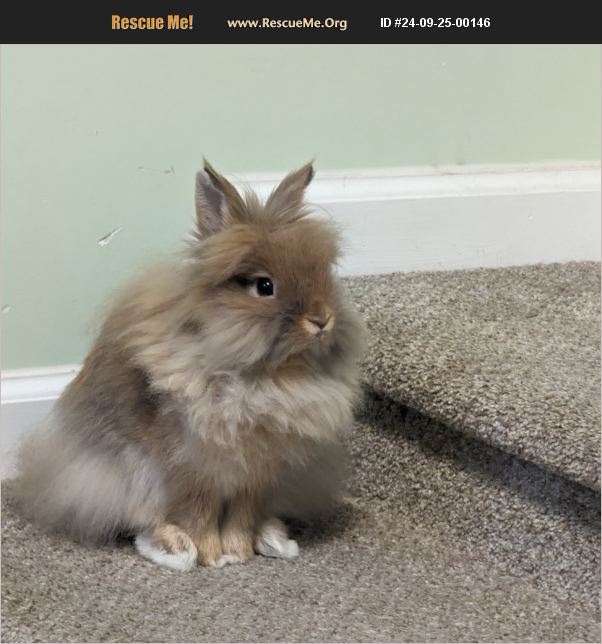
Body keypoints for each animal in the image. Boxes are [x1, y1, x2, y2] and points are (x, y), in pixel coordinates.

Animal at [13, 160, 368, 571]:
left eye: (323, 273)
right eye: (264, 286)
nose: (322, 320)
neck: (264, 376)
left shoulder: (257, 476)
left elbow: (242, 514)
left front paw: (239, 552)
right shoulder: (195, 468)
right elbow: (199, 513)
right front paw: (212, 556)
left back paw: (272, 539)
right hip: (119, 474)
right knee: (143, 518)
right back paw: (177, 549)